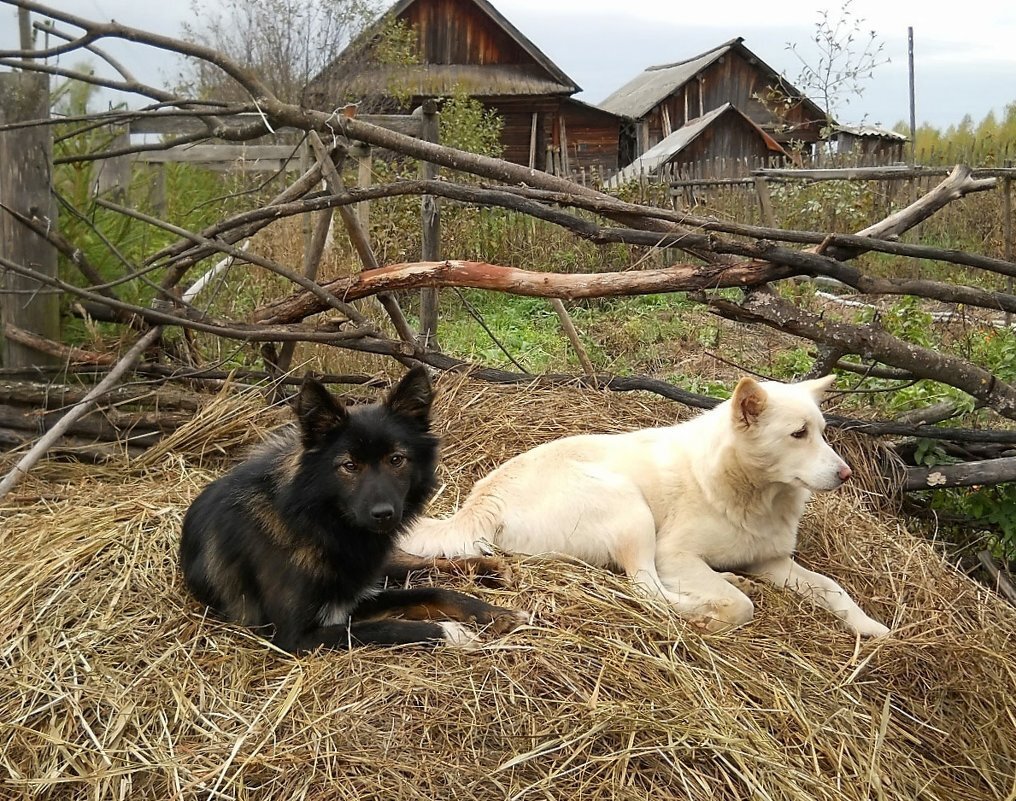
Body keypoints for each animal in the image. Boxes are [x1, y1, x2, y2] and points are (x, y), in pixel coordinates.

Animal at [180, 367, 524, 650]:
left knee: (424, 563)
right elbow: (387, 627)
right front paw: (451, 631)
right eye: (349, 466)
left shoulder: (354, 595)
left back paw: (490, 567)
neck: (318, 522)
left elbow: (437, 593)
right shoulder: (298, 635)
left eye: (396, 459)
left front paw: (493, 613)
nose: (384, 514)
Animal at [398, 376, 890, 638]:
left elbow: (833, 589)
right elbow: (742, 606)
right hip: (630, 508)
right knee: (647, 590)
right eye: (797, 434)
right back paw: (701, 605)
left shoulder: (771, 560)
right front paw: (718, 611)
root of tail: (482, 499)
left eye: (822, 431)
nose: (846, 474)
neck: (747, 488)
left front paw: (870, 627)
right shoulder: (676, 553)